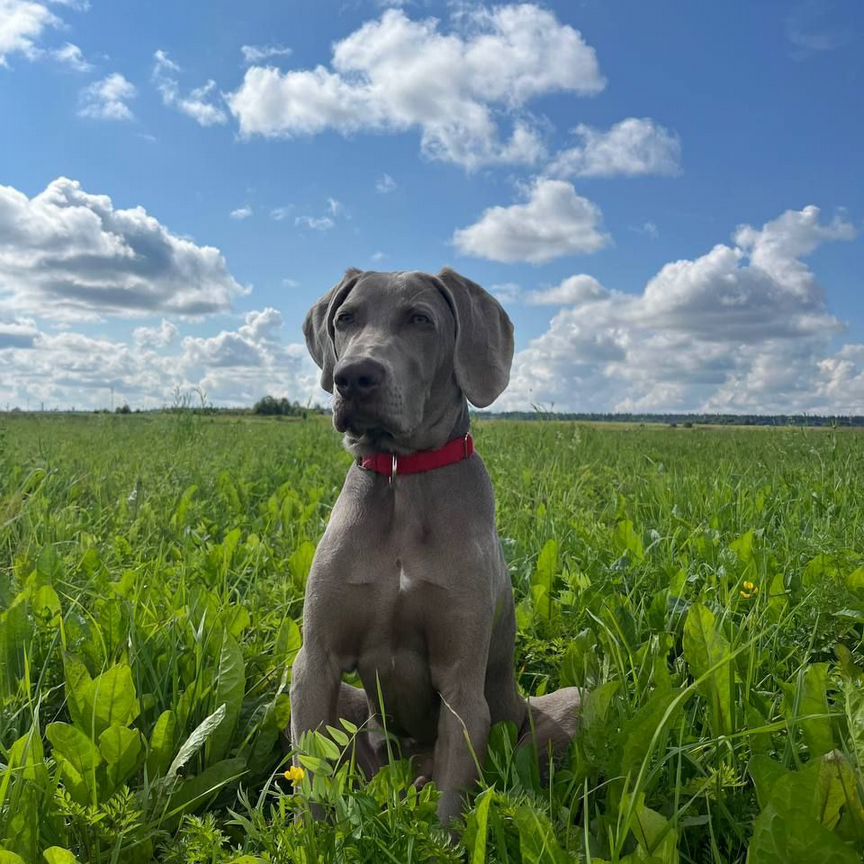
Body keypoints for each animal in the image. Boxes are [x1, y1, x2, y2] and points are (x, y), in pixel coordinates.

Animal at [290, 264, 580, 824]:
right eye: (345, 318)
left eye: (420, 319)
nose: (353, 377)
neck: (402, 478)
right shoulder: (314, 662)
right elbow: (311, 781)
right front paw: (309, 834)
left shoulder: (461, 682)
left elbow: (449, 808)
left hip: (568, 706)